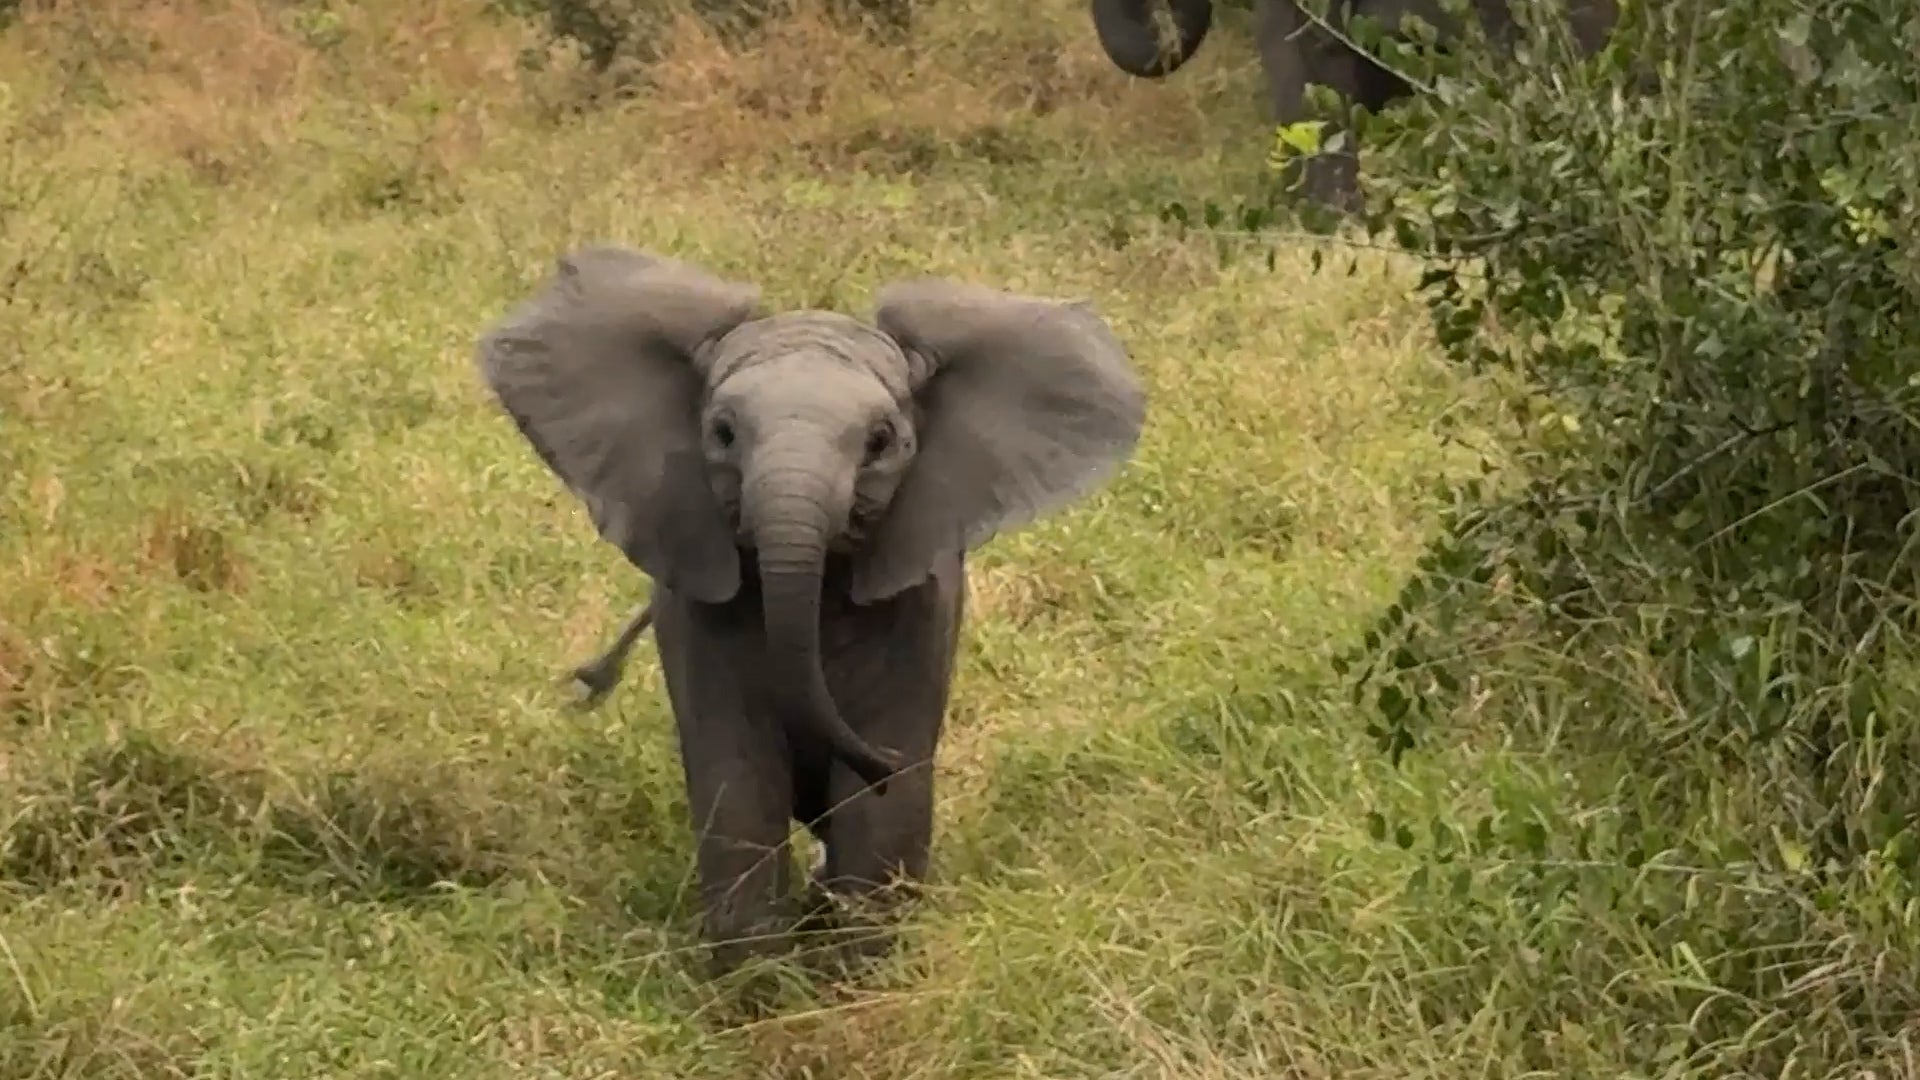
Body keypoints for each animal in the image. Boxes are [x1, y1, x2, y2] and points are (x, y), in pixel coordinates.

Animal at [476, 245, 1146, 975]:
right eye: (723, 433)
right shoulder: (697, 613)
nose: (879, 766)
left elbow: (880, 803)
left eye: (880, 440)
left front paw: (860, 977)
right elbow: (737, 780)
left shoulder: (917, 609)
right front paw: (758, 986)